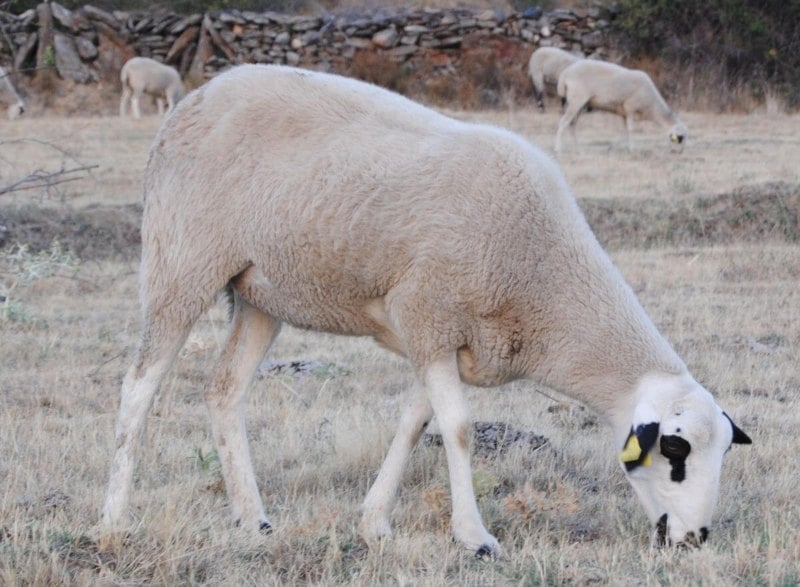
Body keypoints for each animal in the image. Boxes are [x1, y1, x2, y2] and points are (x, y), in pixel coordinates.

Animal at [555, 60, 688, 153]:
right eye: (680, 138)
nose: (679, 152)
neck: (652, 106)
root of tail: (565, 74)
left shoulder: (625, 113)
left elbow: (625, 131)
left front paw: (624, 147)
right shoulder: (631, 108)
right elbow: (631, 129)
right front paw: (633, 149)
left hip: (580, 103)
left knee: (572, 124)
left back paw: (577, 149)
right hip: (576, 100)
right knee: (563, 122)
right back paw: (559, 148)